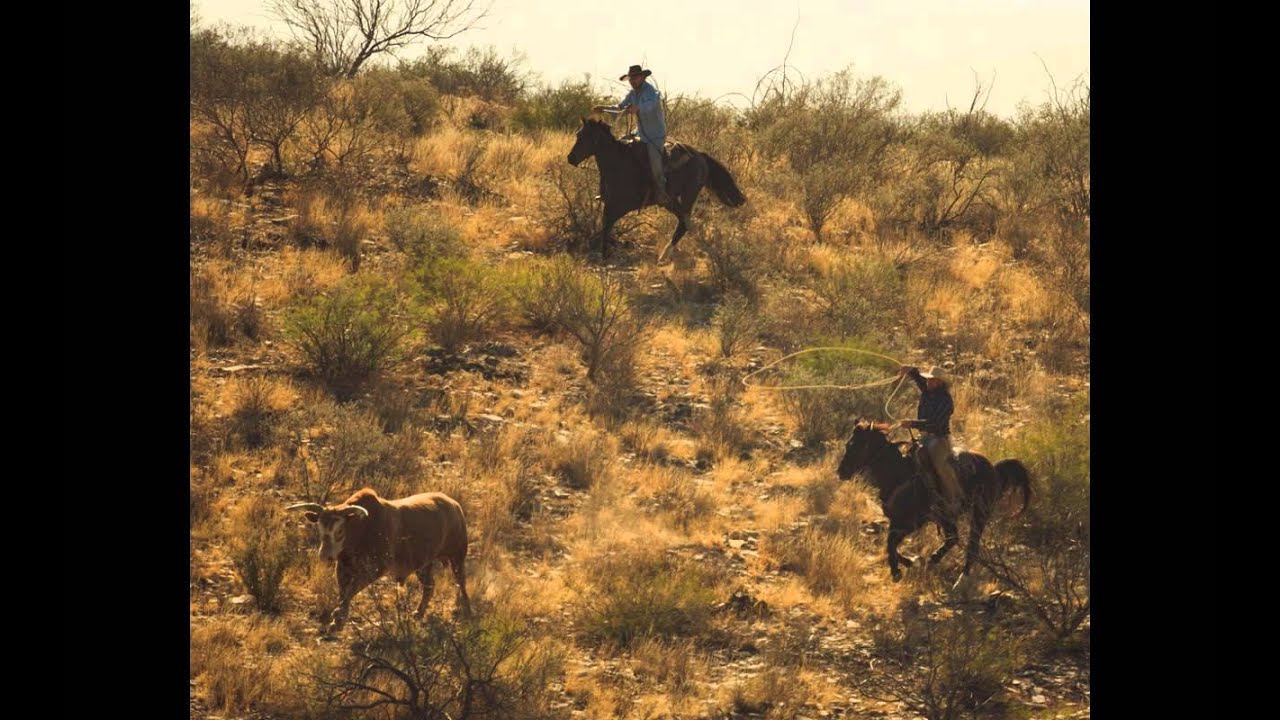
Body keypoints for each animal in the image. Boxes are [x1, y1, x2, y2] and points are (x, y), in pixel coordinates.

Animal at [286, 488, 471, 633]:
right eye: (320, 528)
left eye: (339, 530)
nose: (326, 555)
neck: (360, 531)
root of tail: (454, 505)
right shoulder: (343, 567)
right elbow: (344, 593)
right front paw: (338, 620)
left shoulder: (374, 570)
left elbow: (350, 592)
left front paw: (338, 619)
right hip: (423, 565)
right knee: (429, 587)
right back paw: (419, 613)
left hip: (457, 556)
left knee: (461, 582)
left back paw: (467, 610)